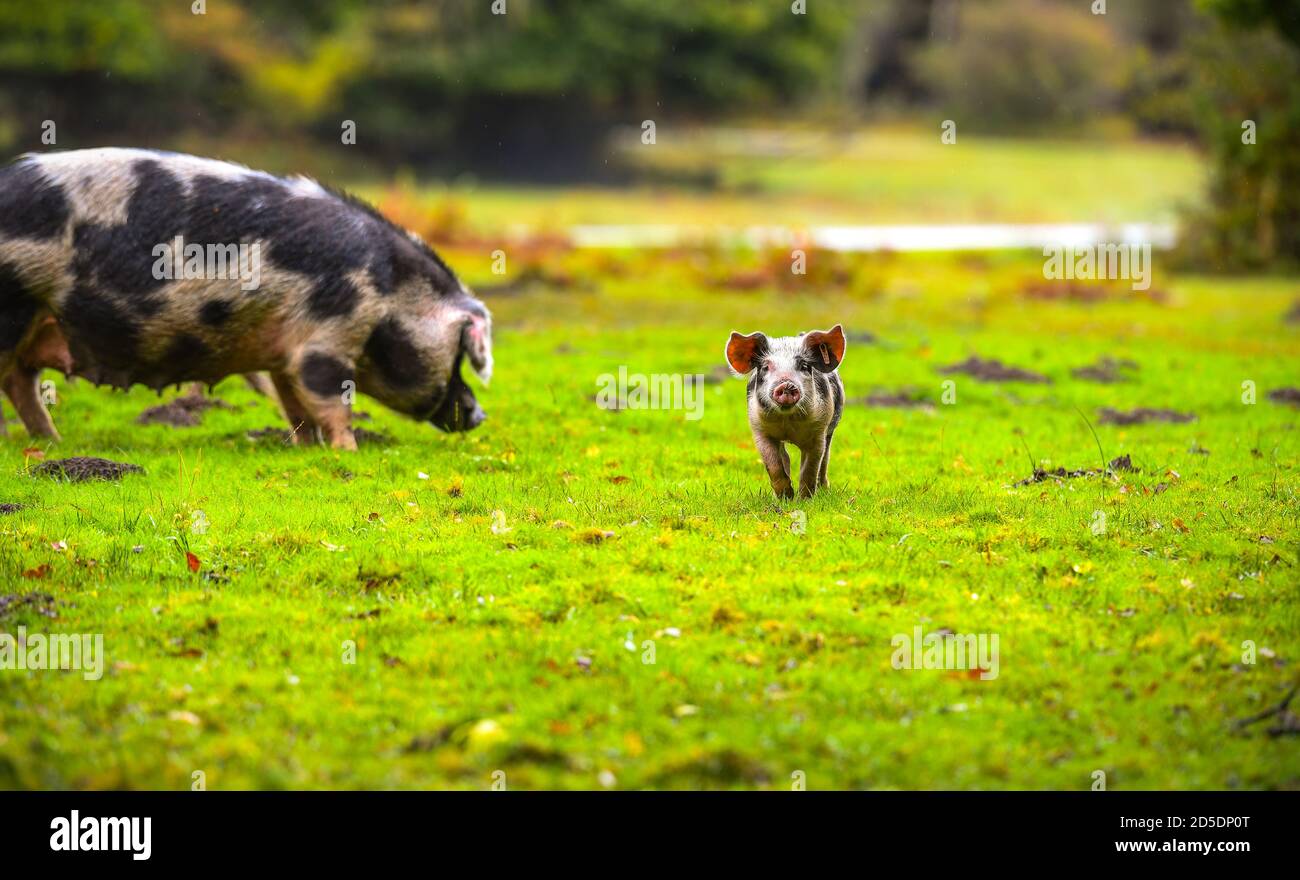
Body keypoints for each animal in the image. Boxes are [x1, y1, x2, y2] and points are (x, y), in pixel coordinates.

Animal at [0, 148, 492, 448]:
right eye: (457, 357)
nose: (479, 414)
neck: (387, 291)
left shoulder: (285, 354)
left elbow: (295, 404)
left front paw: (308, 447)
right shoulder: (327, 337)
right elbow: (331, 400)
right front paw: (348, 451)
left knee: (20, 383)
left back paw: (52, 442)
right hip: (16, 302)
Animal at [725, 325, 845, 499]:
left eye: (804, 366)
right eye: (765, 367)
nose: (786, 384)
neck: (787, 422)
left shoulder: (819, 430)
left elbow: (810, 469)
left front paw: (804, 499)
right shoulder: (760, 430)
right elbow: (774, 465)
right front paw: (785, 497)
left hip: (831, 429)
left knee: (825, 459)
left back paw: (823, 489)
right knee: (785, 456)